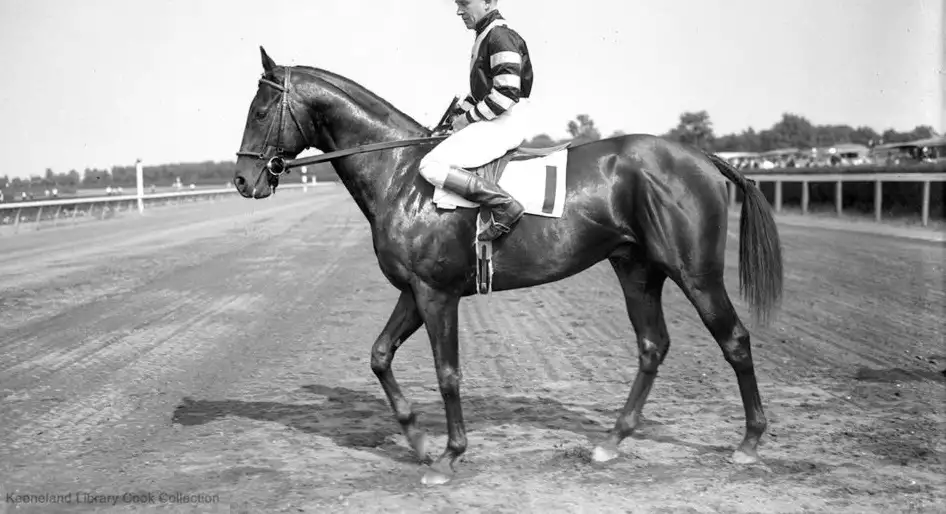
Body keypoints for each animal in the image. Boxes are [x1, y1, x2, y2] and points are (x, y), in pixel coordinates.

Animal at [232, 47, 783, 486]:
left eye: (259, 110)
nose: (241, 179)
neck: (403, 175)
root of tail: (701, 157)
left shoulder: (436, 293)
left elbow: (447, 373)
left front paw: (449, 456)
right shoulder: (414, 290)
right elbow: (380, 356)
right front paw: (419, 442)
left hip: (695, 273)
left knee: (735, 340)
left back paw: (750, 443)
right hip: (636, 270)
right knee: (653, 346)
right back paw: (612, 440)